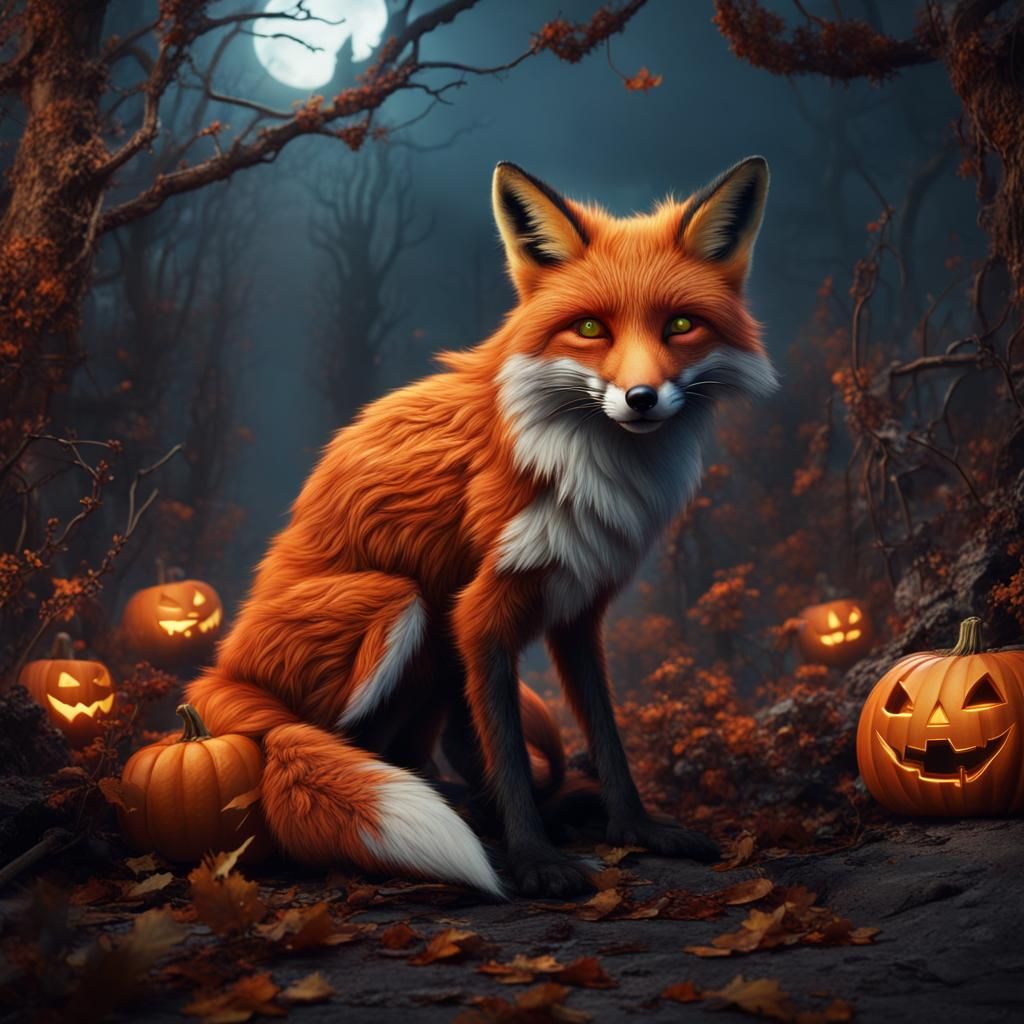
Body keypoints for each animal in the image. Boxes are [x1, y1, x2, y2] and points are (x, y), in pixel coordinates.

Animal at [185, 156, 778, 898]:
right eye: (591, 329)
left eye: (679, 325)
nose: (640, 398)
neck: (583, 463)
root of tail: (220, 670)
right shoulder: (481, 612)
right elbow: (510, 755)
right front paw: (532, 859)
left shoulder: (578, 609)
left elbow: (605, 735)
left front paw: (634, 829)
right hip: (397, 603)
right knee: (334, 747)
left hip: (433, 659)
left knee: (428, 748)